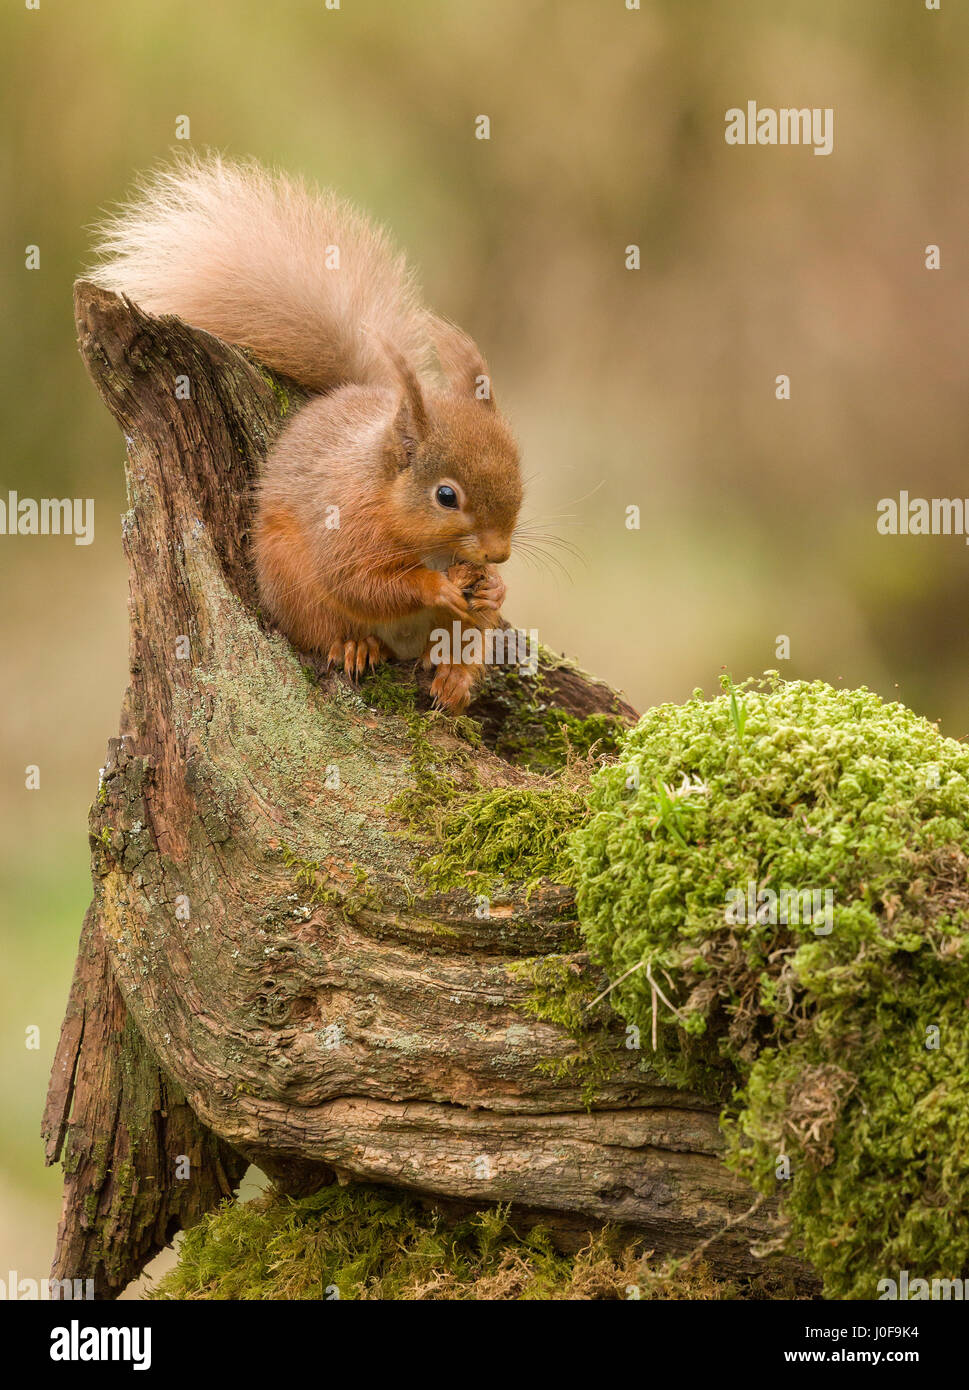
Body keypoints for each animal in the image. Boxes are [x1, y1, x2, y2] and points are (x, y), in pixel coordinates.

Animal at [88, 154, 523, 713]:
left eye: (519, 474)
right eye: (446, 496)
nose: (498, 554)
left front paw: (494, 587)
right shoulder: (345, 527)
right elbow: (359, 582)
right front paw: (439, 586)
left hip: (457, 633)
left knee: (463, 644)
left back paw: (454, 679)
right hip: (291, 579)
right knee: (328, 629)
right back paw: (357, 646)